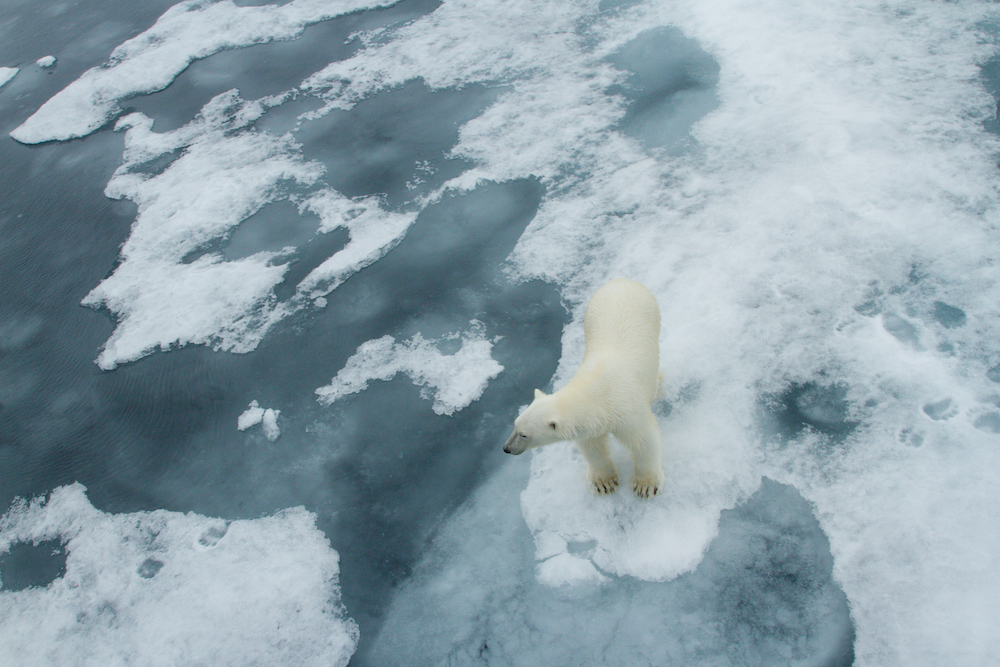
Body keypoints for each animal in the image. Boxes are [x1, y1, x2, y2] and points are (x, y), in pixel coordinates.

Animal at [503, 278, 664, 498]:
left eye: (524, 434)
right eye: (515, 424)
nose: (507, 448)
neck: (598, 392)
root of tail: (620, 280)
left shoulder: (627, 410)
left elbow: (644, 441)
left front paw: (646, 484)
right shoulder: (592, 425)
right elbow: (592, 447)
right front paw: (604, 482)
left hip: (651, 314)